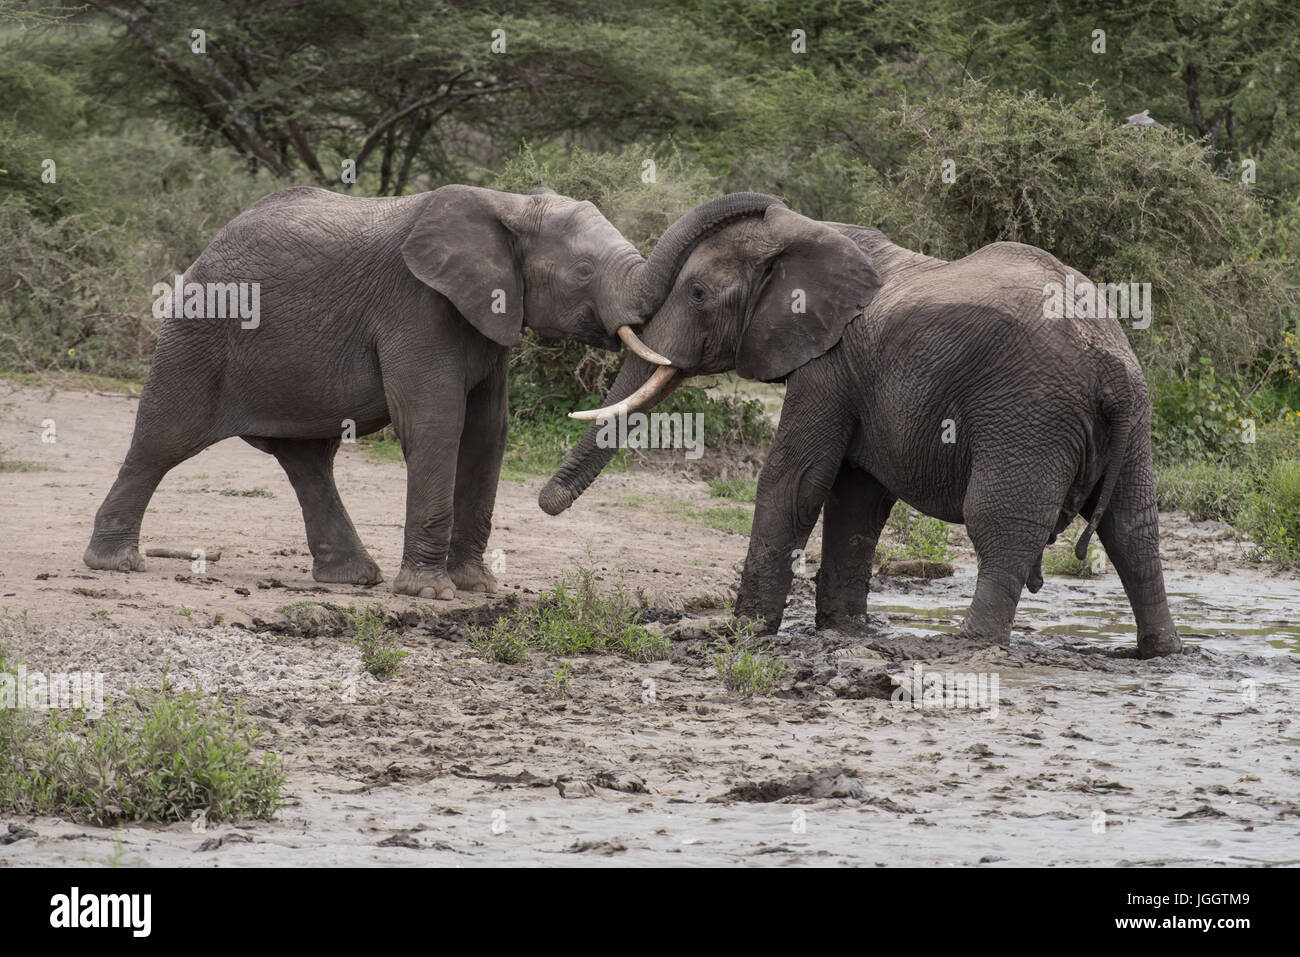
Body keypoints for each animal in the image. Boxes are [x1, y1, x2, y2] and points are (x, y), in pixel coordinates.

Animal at [84, 184, 669, 599]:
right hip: (199, 334)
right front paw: (430, 594)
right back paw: (115, 564)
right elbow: (435, 423)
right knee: (163, 441)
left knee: (308, 462)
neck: (510, 204)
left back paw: (352, 578)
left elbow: (487, 433)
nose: (549, 502)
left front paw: (477, 588)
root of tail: (208, 245)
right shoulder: (418, 307)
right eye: (584, 271)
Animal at [538, 193, 1183, 659]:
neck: (810, 233)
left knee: (1000, 519)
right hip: (1134, 415)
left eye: (697, 293)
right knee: (1133, 528)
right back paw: (1160, 652)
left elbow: (796, 481)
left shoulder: (828, 366)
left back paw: (968, 644)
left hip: (1030, 411)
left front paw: (743, 635)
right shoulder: (856, 377)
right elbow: (857, 496)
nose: (547, 502)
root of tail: (1110, 366)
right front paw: (844, 633)